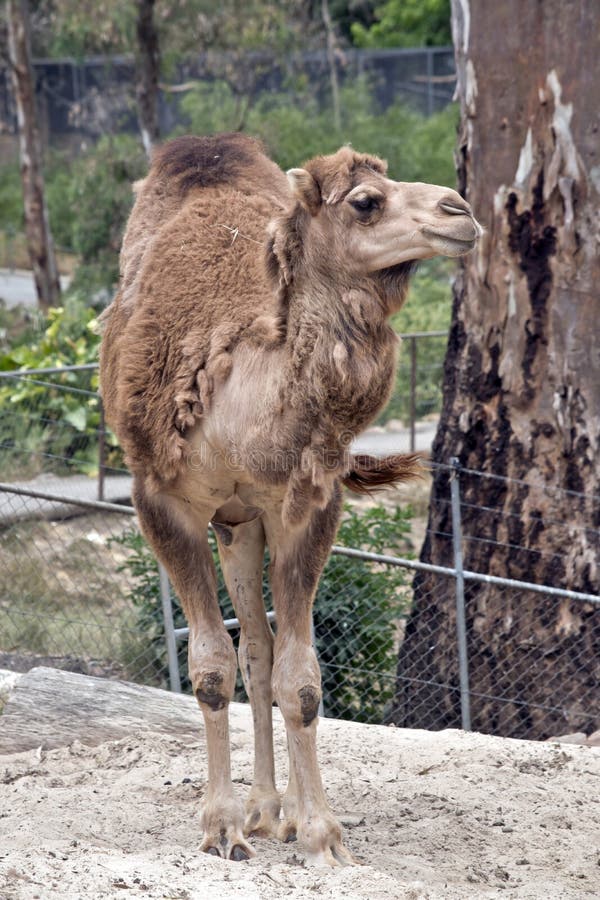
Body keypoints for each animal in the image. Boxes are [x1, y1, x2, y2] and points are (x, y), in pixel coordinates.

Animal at [99, 132, 481, 866]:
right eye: (366, 201)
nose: (461, 210)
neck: (237, 403)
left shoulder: (307, 504)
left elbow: (300, 679)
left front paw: (321, 834)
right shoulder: (161, 503)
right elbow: (209, 670)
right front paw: (219, 828)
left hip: (244, 521)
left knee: (263, 651)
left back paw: (272, 811)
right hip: (227, 520)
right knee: (245, 652)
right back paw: (251, 813)